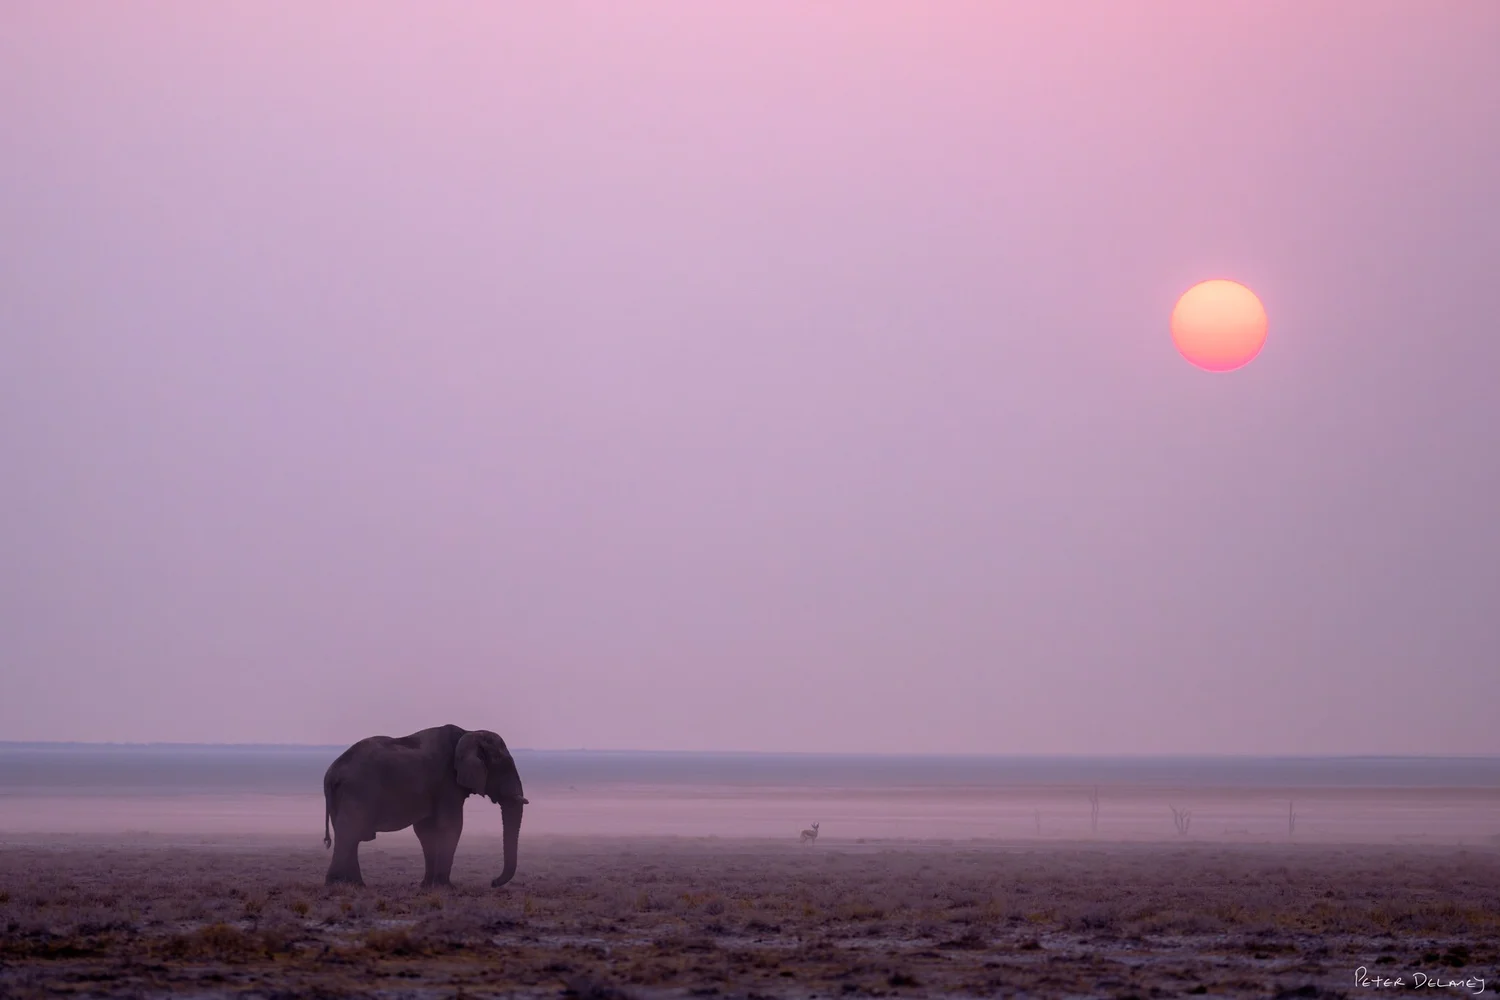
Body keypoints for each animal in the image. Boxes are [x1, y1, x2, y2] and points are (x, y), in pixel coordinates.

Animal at [322, 724, 527, 888]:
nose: (492, 882)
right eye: (504, 765)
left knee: (347, 833)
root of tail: (331, 773)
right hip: (358, 790)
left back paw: (355, 884)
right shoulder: (447, 781)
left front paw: (427, 886)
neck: (469, 732)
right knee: (350, 831)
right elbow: (451, 825)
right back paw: (337, 884)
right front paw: (446, 887)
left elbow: (426, 830)